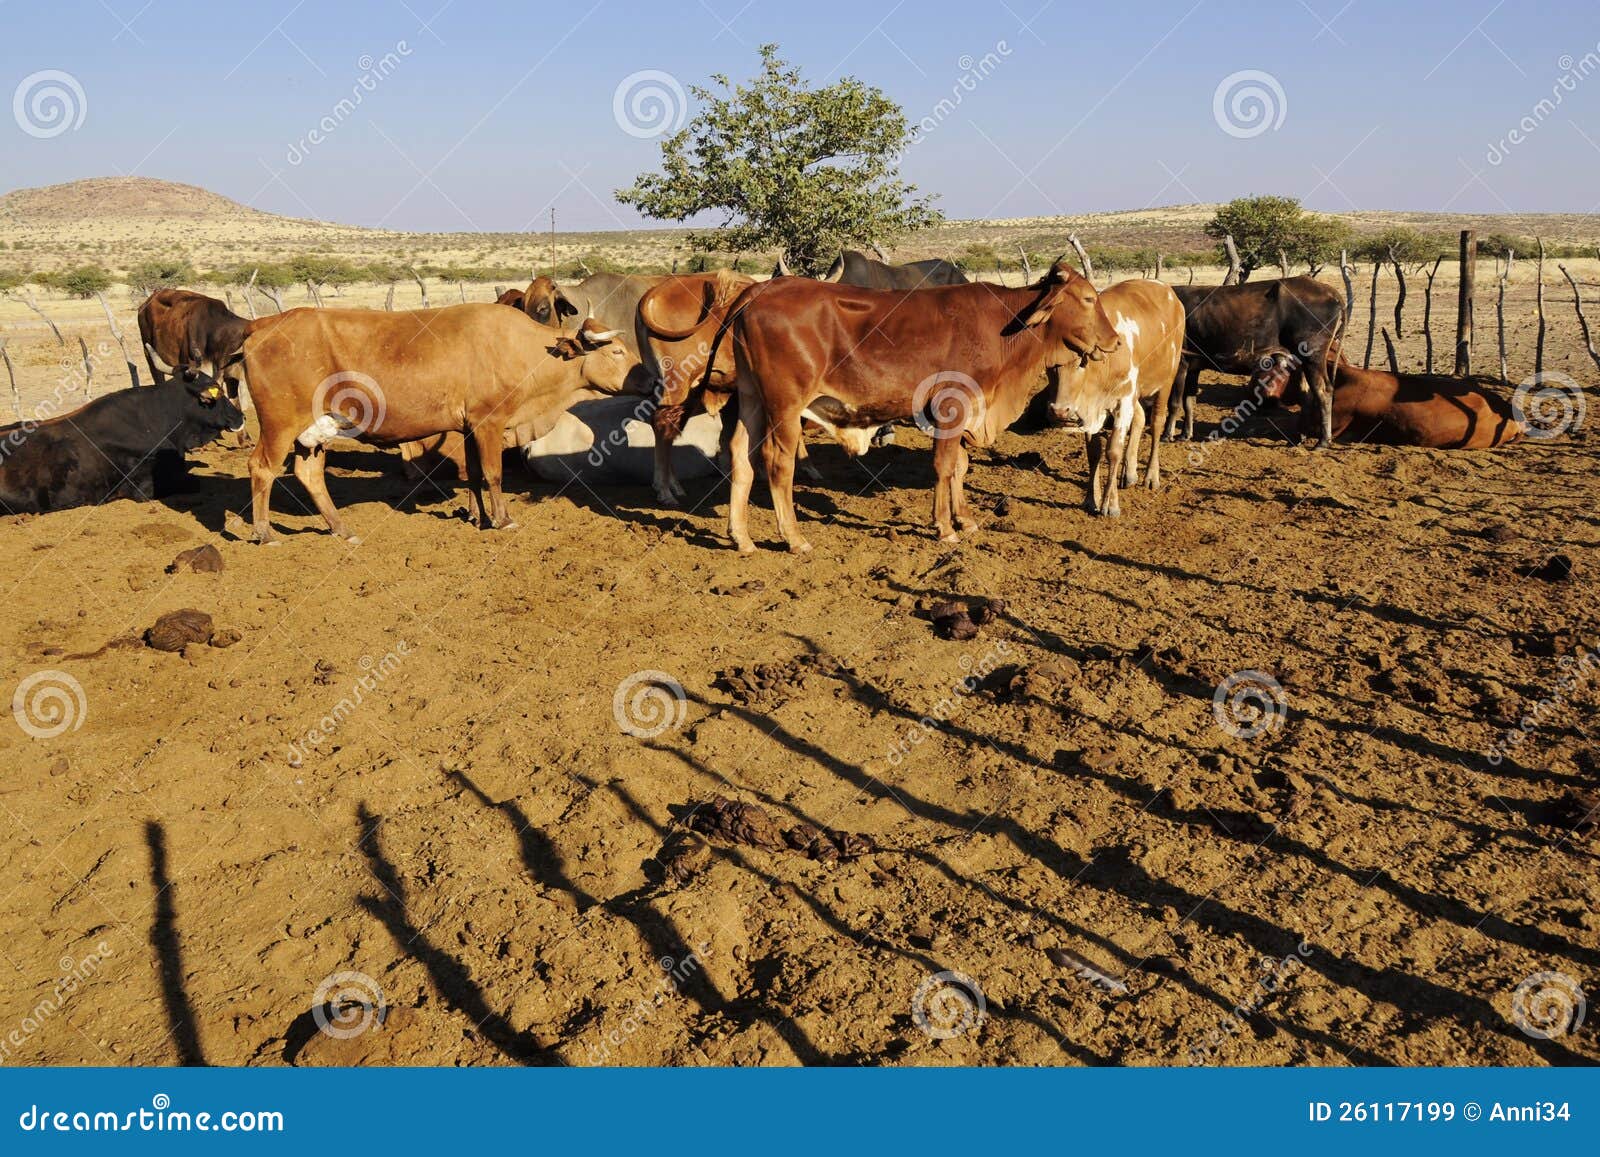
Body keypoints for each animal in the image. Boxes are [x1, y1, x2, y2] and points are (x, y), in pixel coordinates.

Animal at [237, 305, 632, 544]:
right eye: (616, 351)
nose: (645, 374)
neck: (518, 348)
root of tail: (263, 324)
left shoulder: (469, 427)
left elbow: (473, 474)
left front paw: (475, 516)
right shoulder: (488, 422)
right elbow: (493, 473)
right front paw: (502, 519)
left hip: (316, 430)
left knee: (309, 474)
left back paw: (341, 529)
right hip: (280, 425)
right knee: (262, 468)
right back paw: (264, 533)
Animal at [725, 258, 1120, 553]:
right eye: (1088, 299)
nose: (1115, 340)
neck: (1001, 326)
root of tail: (758, 292)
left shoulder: (968, 412)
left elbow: (960, 466)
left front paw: (965, 518)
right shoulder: (951, 408)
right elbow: (944, 466)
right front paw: (945, 526)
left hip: (752, 400)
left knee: (740, 455)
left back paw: (741, 537)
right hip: (784, 408)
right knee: (778, 463)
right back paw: (794, 538)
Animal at [1047, 279, 1185, 514]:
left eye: (1081, 362)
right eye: (1051, 367)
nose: (1059, 410)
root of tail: (1169, 291)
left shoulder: (1123, 402)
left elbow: (1113, 451)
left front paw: (1110, 505)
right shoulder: (1089, 409)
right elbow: (1094, 452)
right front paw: (1091, 499)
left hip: (1166, 380)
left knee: (1156, 423)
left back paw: (1151, 476)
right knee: (1140, 418)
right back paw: (1129, 473)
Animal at [1168, 276, 1344, 448]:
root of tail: (1330, 292)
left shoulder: (1180, 363)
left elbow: (1174, 402)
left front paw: (1167, 435)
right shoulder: (1192, 366)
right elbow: (1188, 402)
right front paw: (1184, 434)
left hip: (1313, 359)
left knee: (1323, 392)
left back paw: (1323, 441)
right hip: (1301, 364)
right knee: (1307, 394)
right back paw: (1300, 436)